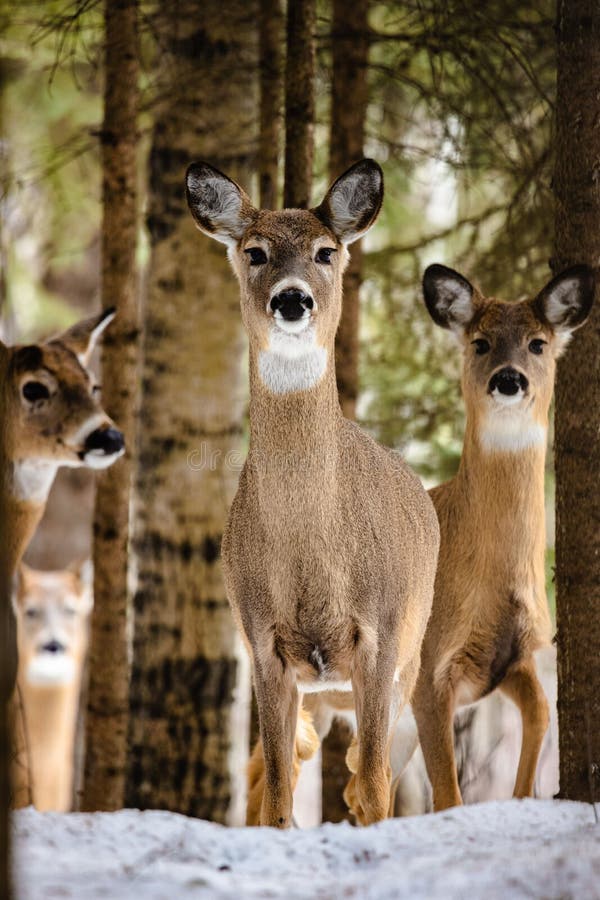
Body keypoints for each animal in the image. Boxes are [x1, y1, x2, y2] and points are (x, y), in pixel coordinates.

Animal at [185, 158, 440, 828]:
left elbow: (373, 785)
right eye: (254, 251)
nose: (292, 297)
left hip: (410, 656)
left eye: (326, 251)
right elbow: (276, 794)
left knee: (374, 776)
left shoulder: (380, 636)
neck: (312, 552)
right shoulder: (261, 642)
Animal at [409, 262, 595, 811]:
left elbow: (542, 714)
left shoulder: (515, 655)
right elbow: (449, 794)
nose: (508, 378)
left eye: (538, 343)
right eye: (480, 342)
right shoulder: (429, 665)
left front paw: (523, 795)